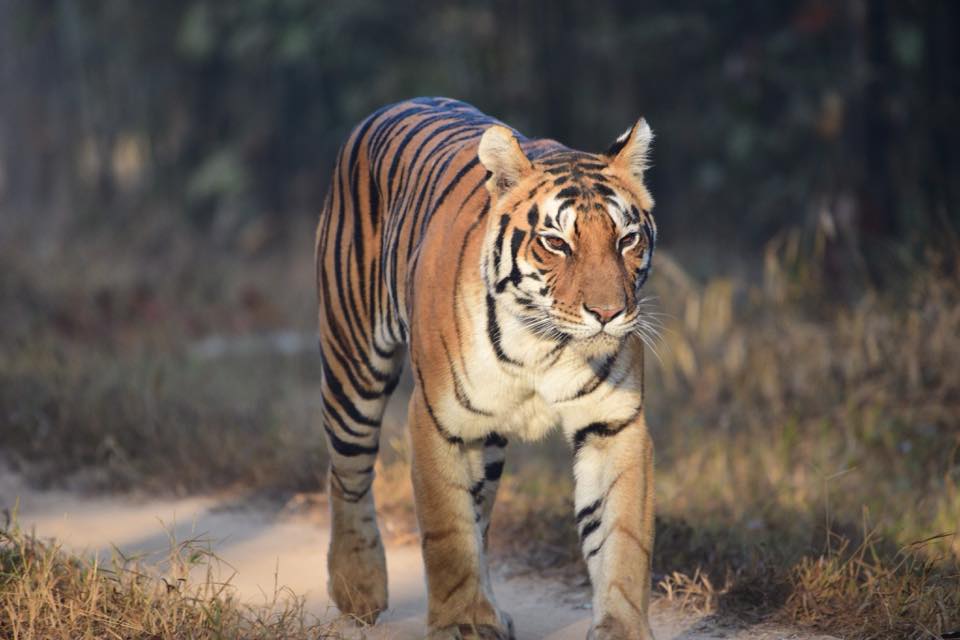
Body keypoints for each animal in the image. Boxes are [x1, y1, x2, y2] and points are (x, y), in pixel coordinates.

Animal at [315, 97, 658, 640]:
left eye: (626, 239)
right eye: (556, 243)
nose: (608, 313)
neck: (544, 343)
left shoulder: (613, 424)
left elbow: (621, 535)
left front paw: (621, 628)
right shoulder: (437, 421)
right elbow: (448, 533)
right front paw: (462, 623)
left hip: (488, 440)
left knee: (481, 510)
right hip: (354, 366)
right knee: (346, 472)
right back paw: (357, 587)